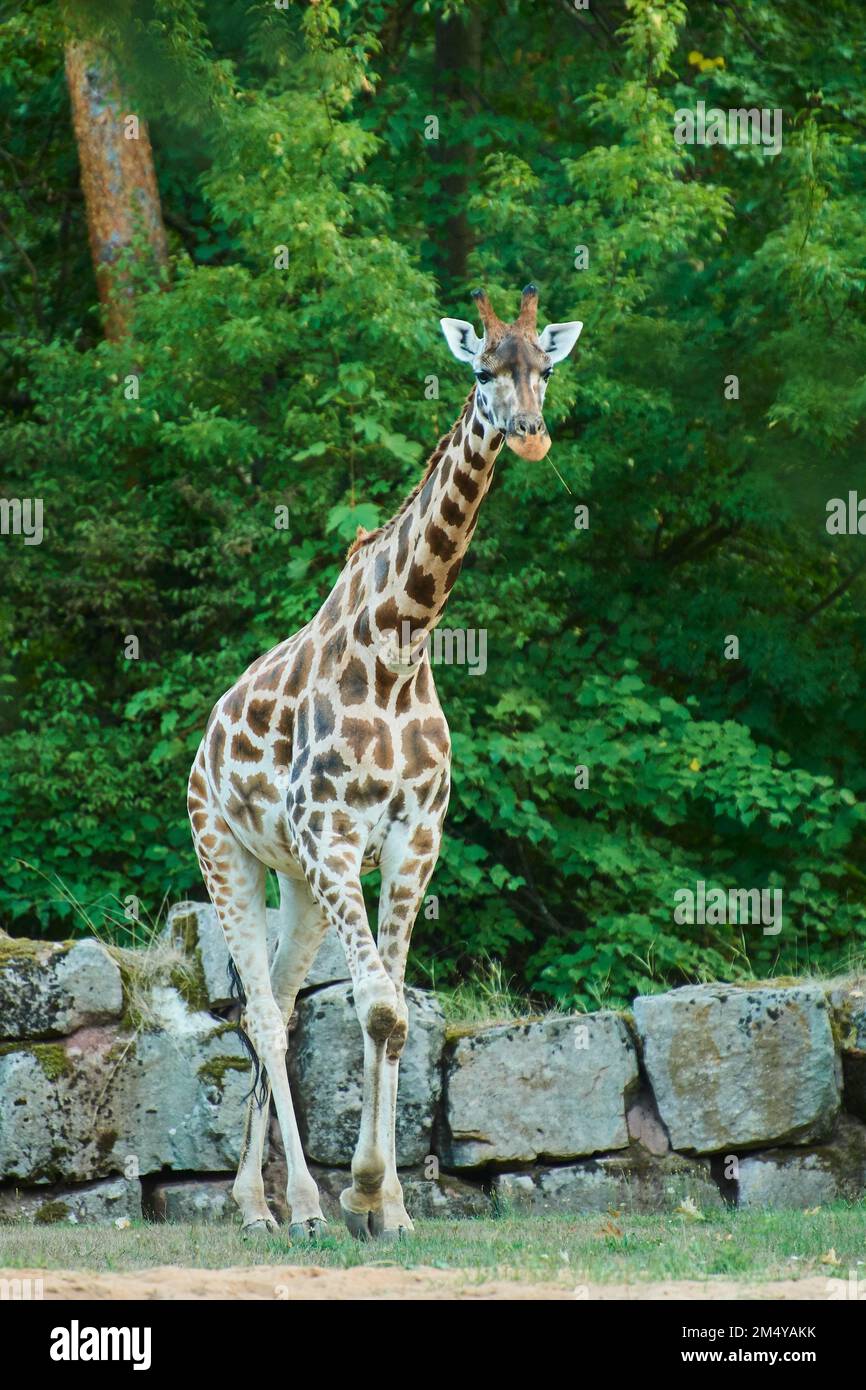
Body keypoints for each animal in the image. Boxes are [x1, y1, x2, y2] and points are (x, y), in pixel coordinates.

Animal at [186, 285, 583, 1240]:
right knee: (263, 1014)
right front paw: (358, 1192)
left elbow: (392, 1018)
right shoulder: (332, 834)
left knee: (281, 1007)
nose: (530, 433)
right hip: (226, 853)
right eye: (482, 371)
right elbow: (374, 1005)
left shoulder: (413, 839)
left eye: (545, 369)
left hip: (296, 880)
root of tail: (204, 741)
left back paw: (259, 1202)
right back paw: (289, 1207)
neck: (400, 646)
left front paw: (389, 1204)